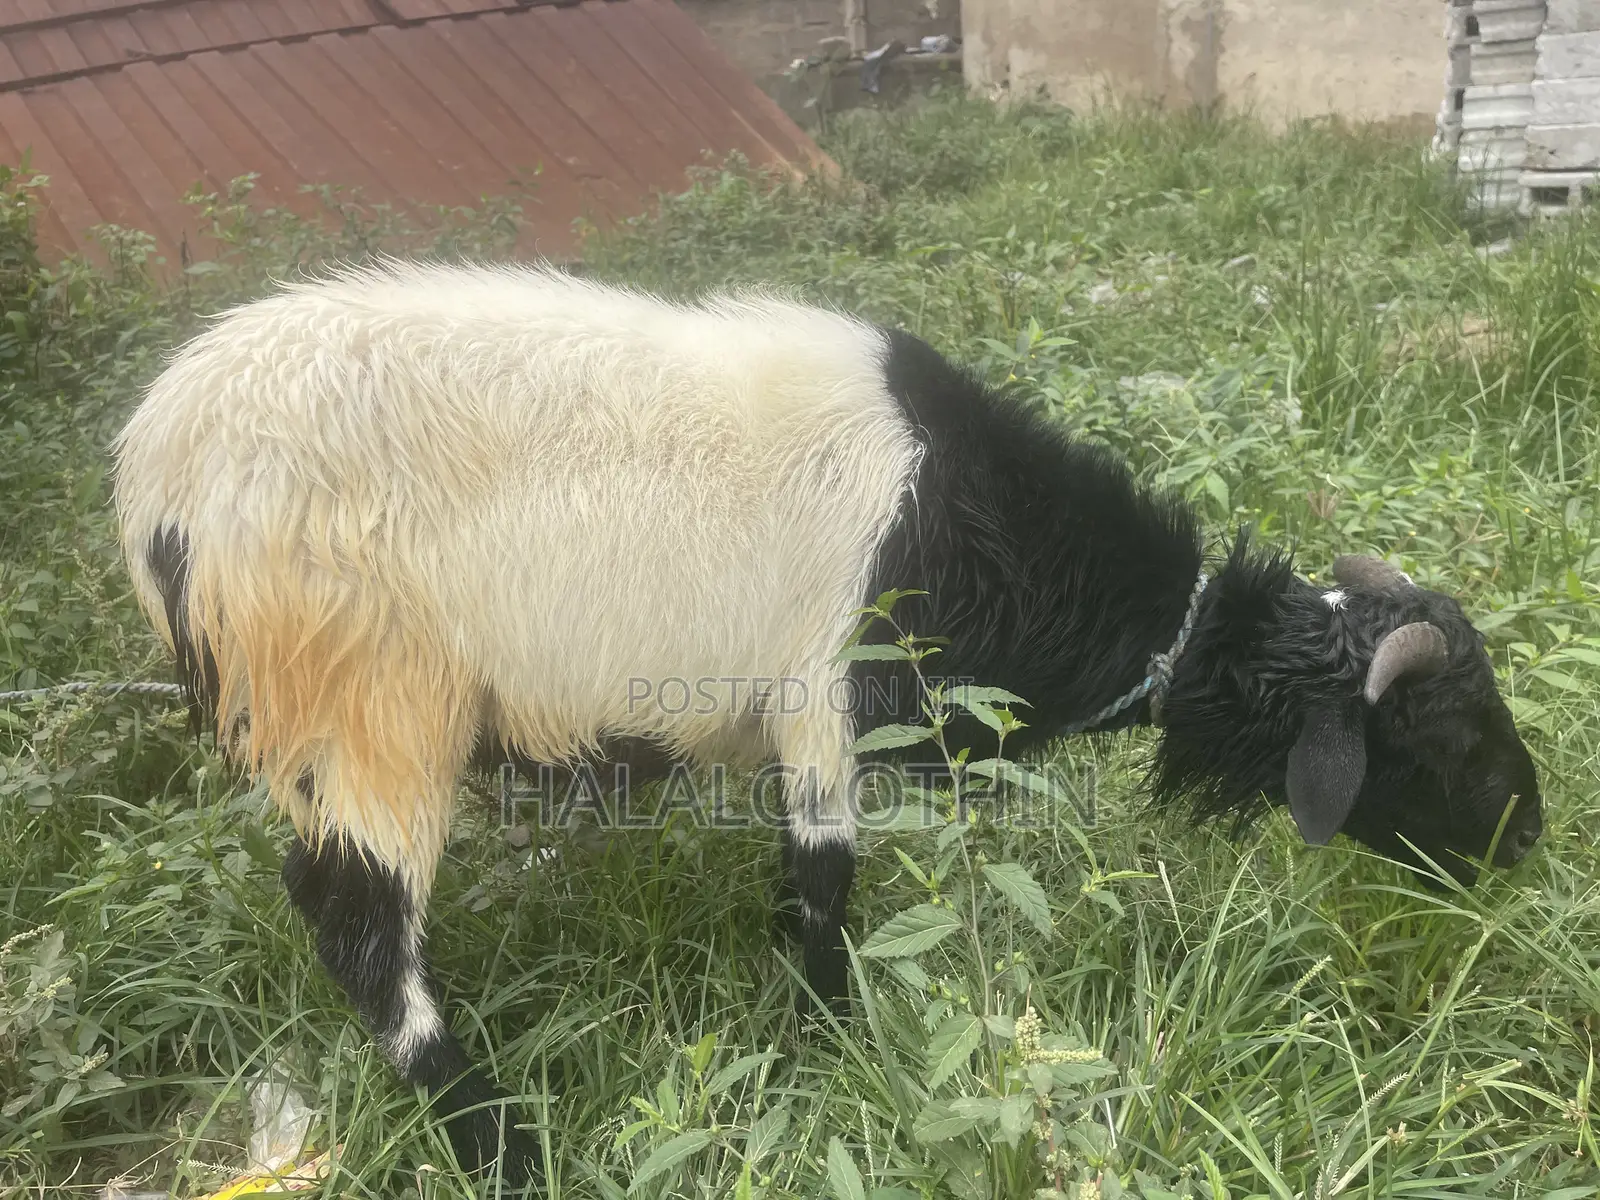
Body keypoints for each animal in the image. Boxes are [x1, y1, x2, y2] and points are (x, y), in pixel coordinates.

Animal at [111, 261, 1543, 1187]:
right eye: (1446, 732)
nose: (1530, 838)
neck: (982, 533)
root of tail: (150, 479)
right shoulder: (825, 702)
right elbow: (823, 884)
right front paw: (824, 1057)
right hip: (368, 703)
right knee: (357, 926)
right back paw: (496, 1142)